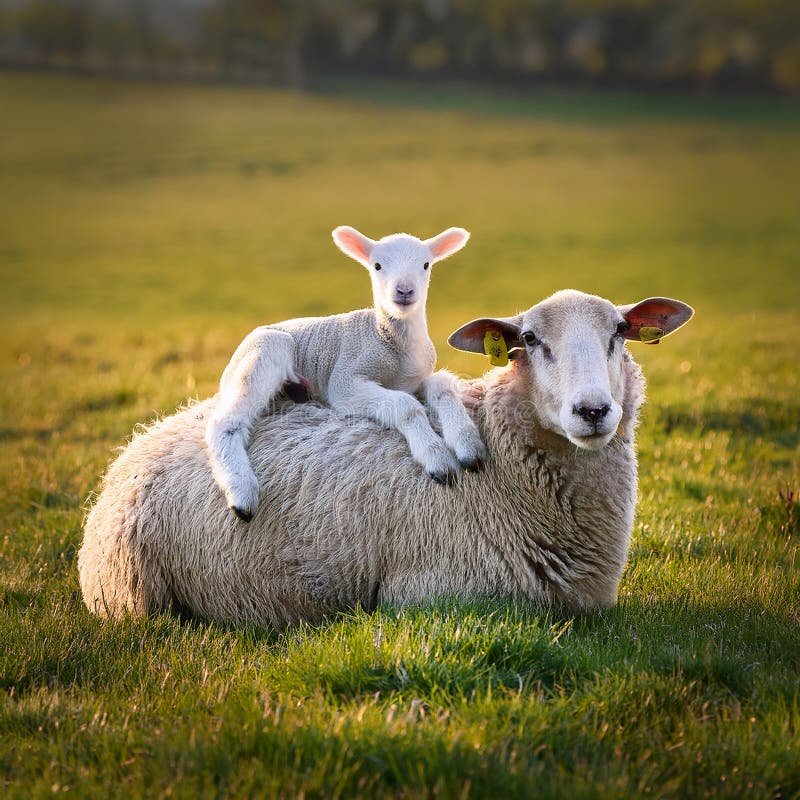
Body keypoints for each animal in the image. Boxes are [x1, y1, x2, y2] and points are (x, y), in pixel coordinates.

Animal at [79, 290, 693, 625]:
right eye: (530, 341)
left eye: (620, 331)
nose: (593, 410)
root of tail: (140, 440)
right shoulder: (432, 596)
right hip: (134, 596)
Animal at [206, 225, 485, 523]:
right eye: (377, 266)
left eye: (426, 264)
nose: (404, 291)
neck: (388, 339)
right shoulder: (346, 380)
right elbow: (405, 405)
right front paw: (437, 457)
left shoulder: (415, 379)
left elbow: (443, 386)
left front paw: (468, 445)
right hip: (265, 350)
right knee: (225, 422)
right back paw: (241, 492)